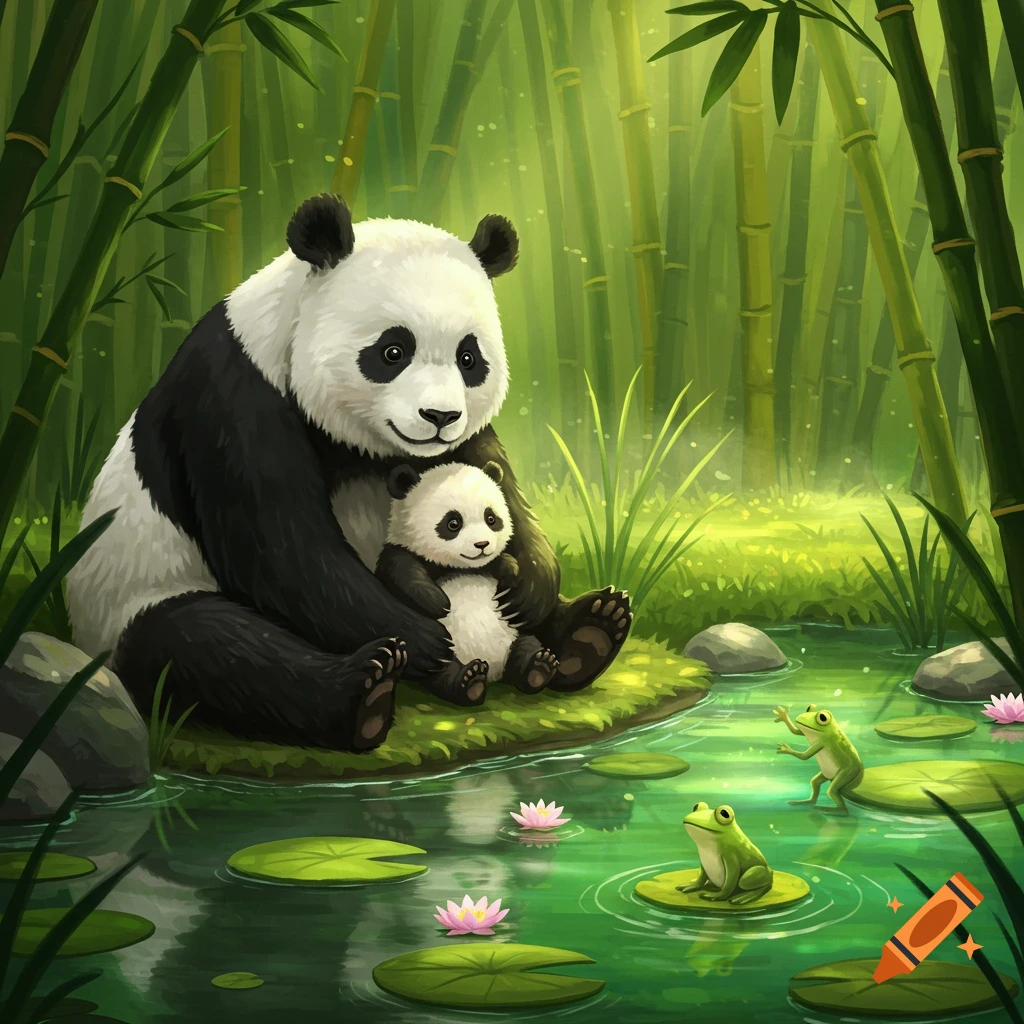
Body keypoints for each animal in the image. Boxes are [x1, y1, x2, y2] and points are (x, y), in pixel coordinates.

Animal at [378, 461, 561, 701]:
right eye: (453, 523)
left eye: (491, 519)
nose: (482, 544)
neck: (459, 567)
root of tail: (494, 672)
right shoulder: (402, 554)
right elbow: (401, 570)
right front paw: (438, 601)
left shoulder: (487, 565)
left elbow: (503, 564)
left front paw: (512, 576)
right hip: (445, 652)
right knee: (442, 670)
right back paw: (469, 681)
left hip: (515, 635)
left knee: (527, 645)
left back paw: (538, 667)